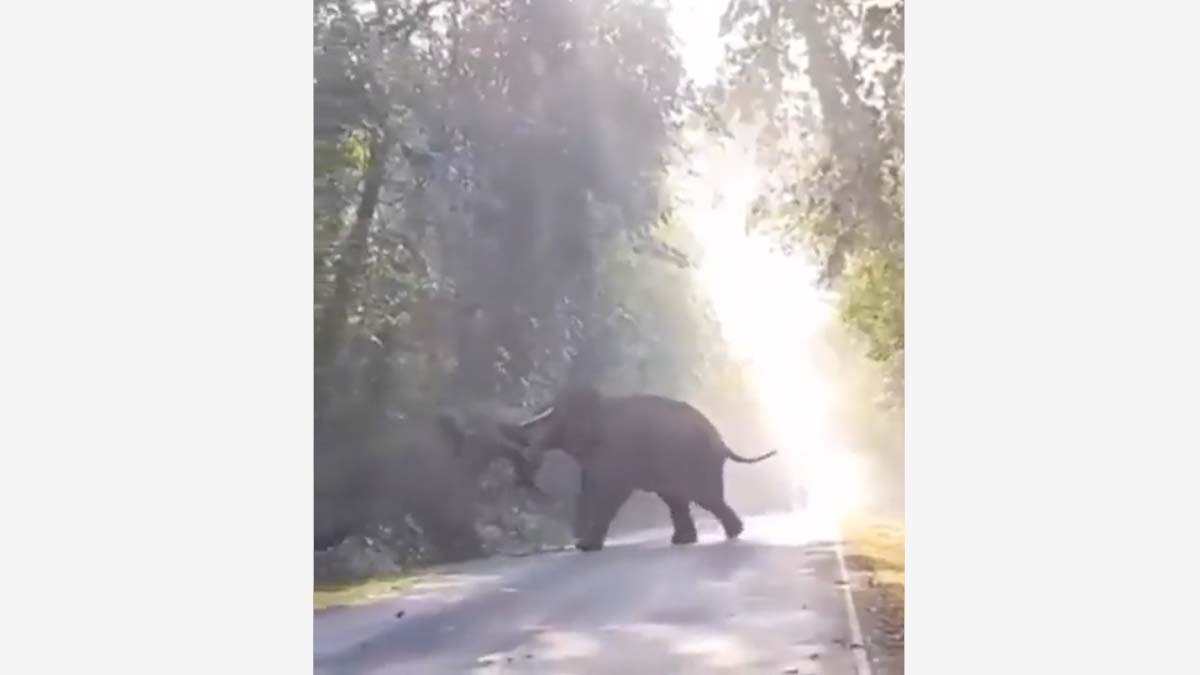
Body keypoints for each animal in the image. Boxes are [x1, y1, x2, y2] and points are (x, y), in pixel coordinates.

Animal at [517, 385, 778, 552]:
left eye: (552, 420)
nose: (524, 434)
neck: (599, 404)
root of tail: (722, 441)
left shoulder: (617, 450)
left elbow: (610, 492)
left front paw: (586, 547)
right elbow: (590, 488)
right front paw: (582, 543)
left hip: (698, 460)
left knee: (704, 498)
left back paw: (733, 533)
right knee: (677, 499)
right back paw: (686, 540)